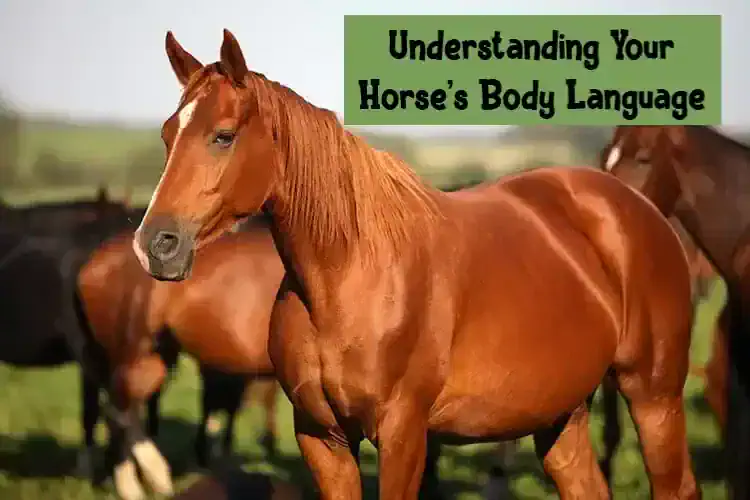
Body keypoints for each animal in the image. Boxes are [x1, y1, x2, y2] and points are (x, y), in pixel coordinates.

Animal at [131, 30, 700, 500]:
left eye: (223, 135)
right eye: (167, 136)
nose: (155, 245)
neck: (348, 277)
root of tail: (636, 207)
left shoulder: (403, 436)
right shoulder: (321, 438)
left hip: (654, 397)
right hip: (563, 414)